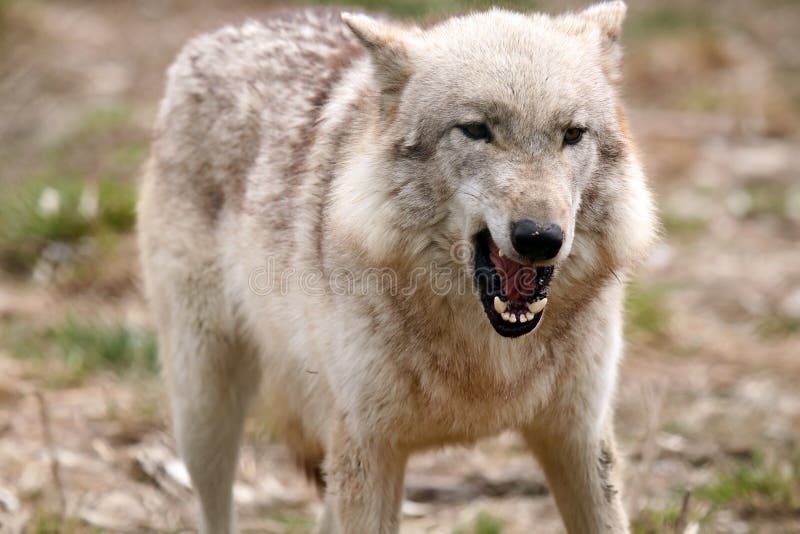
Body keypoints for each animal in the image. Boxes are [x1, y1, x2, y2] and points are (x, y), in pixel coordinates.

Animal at [138, 1, 656, 532]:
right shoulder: (368, 450)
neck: (491, 362)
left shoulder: (580, 438)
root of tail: (227, 31)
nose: (539, 238)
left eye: (572, 135)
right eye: (476, 130)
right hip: (205, 407)